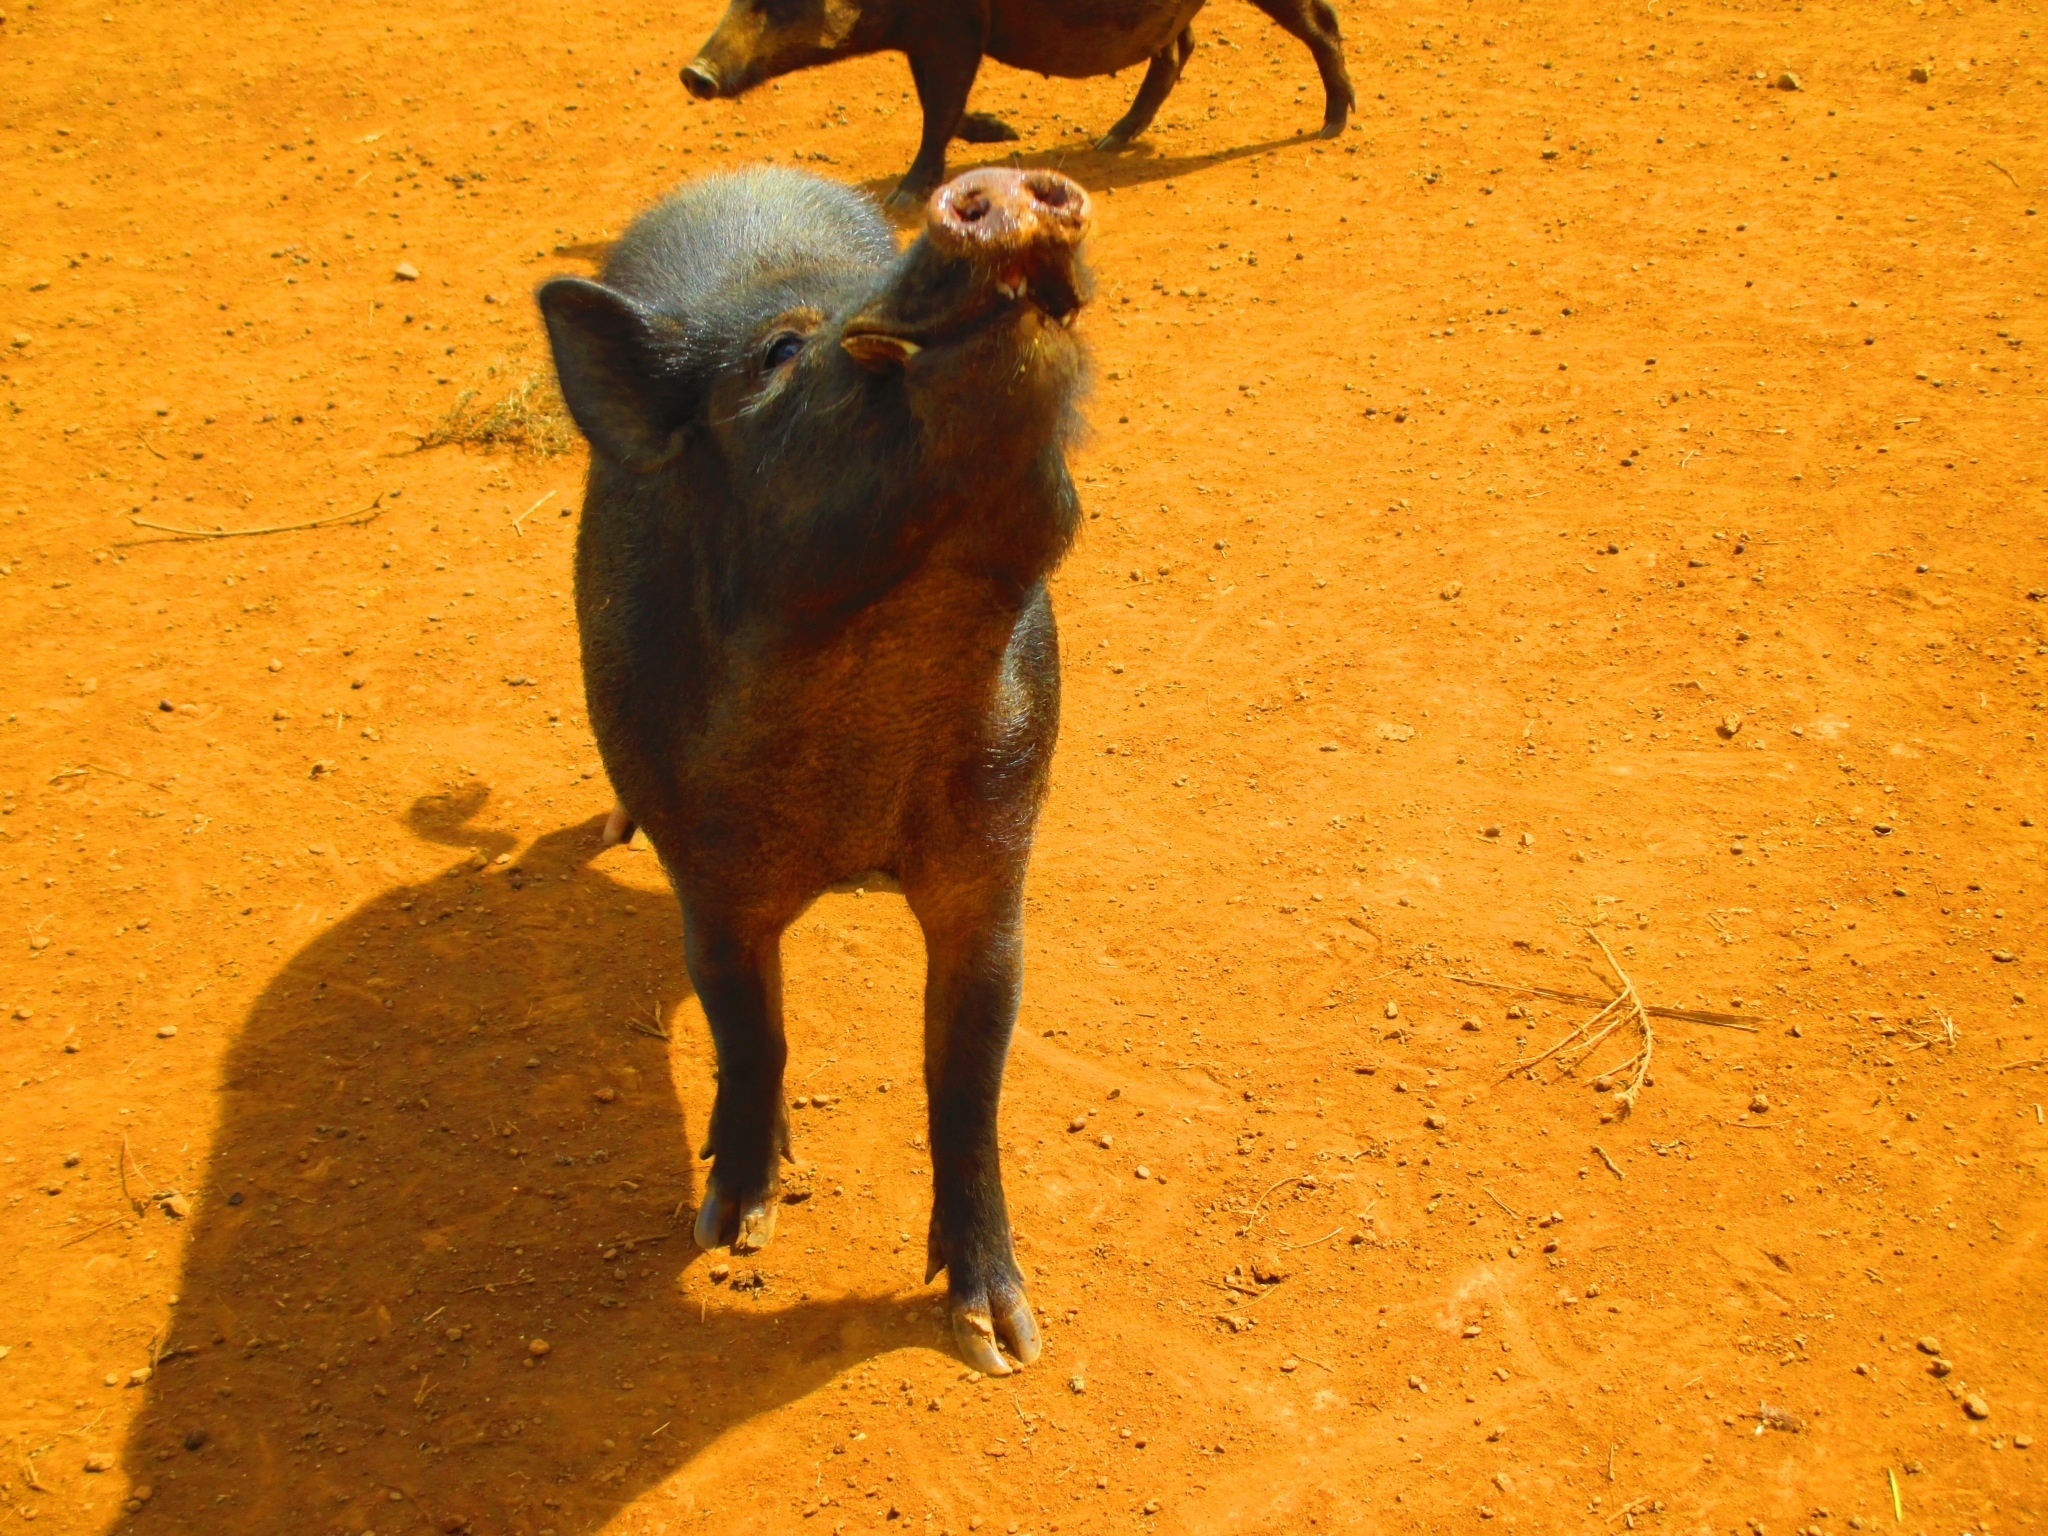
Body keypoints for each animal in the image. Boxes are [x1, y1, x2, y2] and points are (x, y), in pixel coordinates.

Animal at [536, 165, 1093, 1374]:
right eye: (780, 352)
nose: (990, 185)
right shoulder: (708, 879)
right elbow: (752, 1034)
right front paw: (728, 1227)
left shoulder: (995, 865)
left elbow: (966, 1081)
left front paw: (1001, 1340)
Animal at [680, 0, 1355, 203]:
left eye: (776, 2)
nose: (693, 74)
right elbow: (942, 107)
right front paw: (1002, 132)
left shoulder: (952, 29)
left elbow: (938, 107)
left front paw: (904, 196)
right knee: (1177, 50)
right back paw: (1110, 140)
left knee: (1323, 22)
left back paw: (1333, 124)